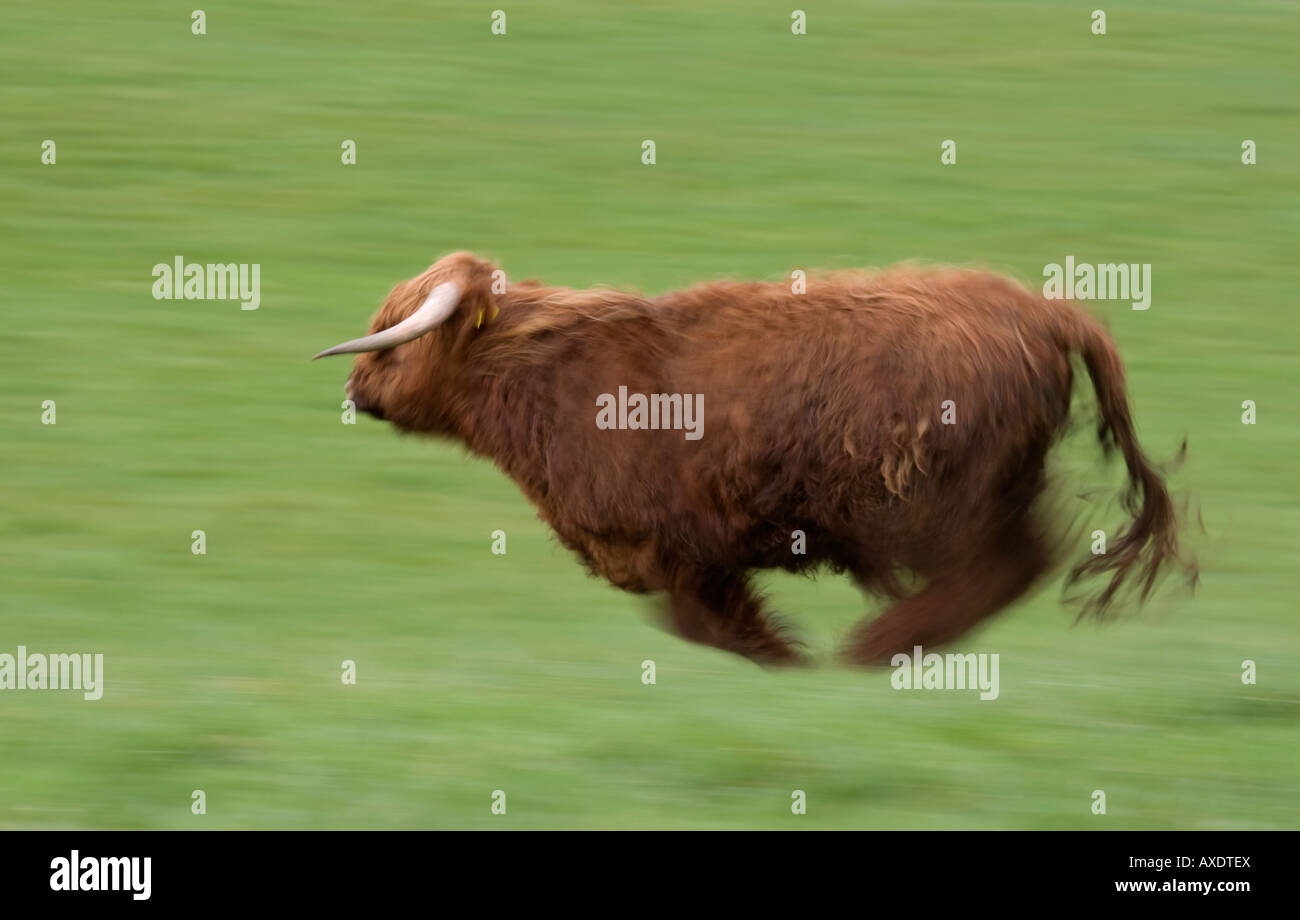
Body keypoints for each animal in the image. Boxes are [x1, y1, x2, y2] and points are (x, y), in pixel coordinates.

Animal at [314, 251, 1195, 666]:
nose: (353, 387)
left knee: (1006, 564)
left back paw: (874, 649)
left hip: (939, 507)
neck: (549, 378)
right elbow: (705, 628)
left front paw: (794, 660)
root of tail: (1043, 309)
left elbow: (716, 627)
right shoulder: (680, 556)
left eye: (393, 339)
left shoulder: (679, 549)